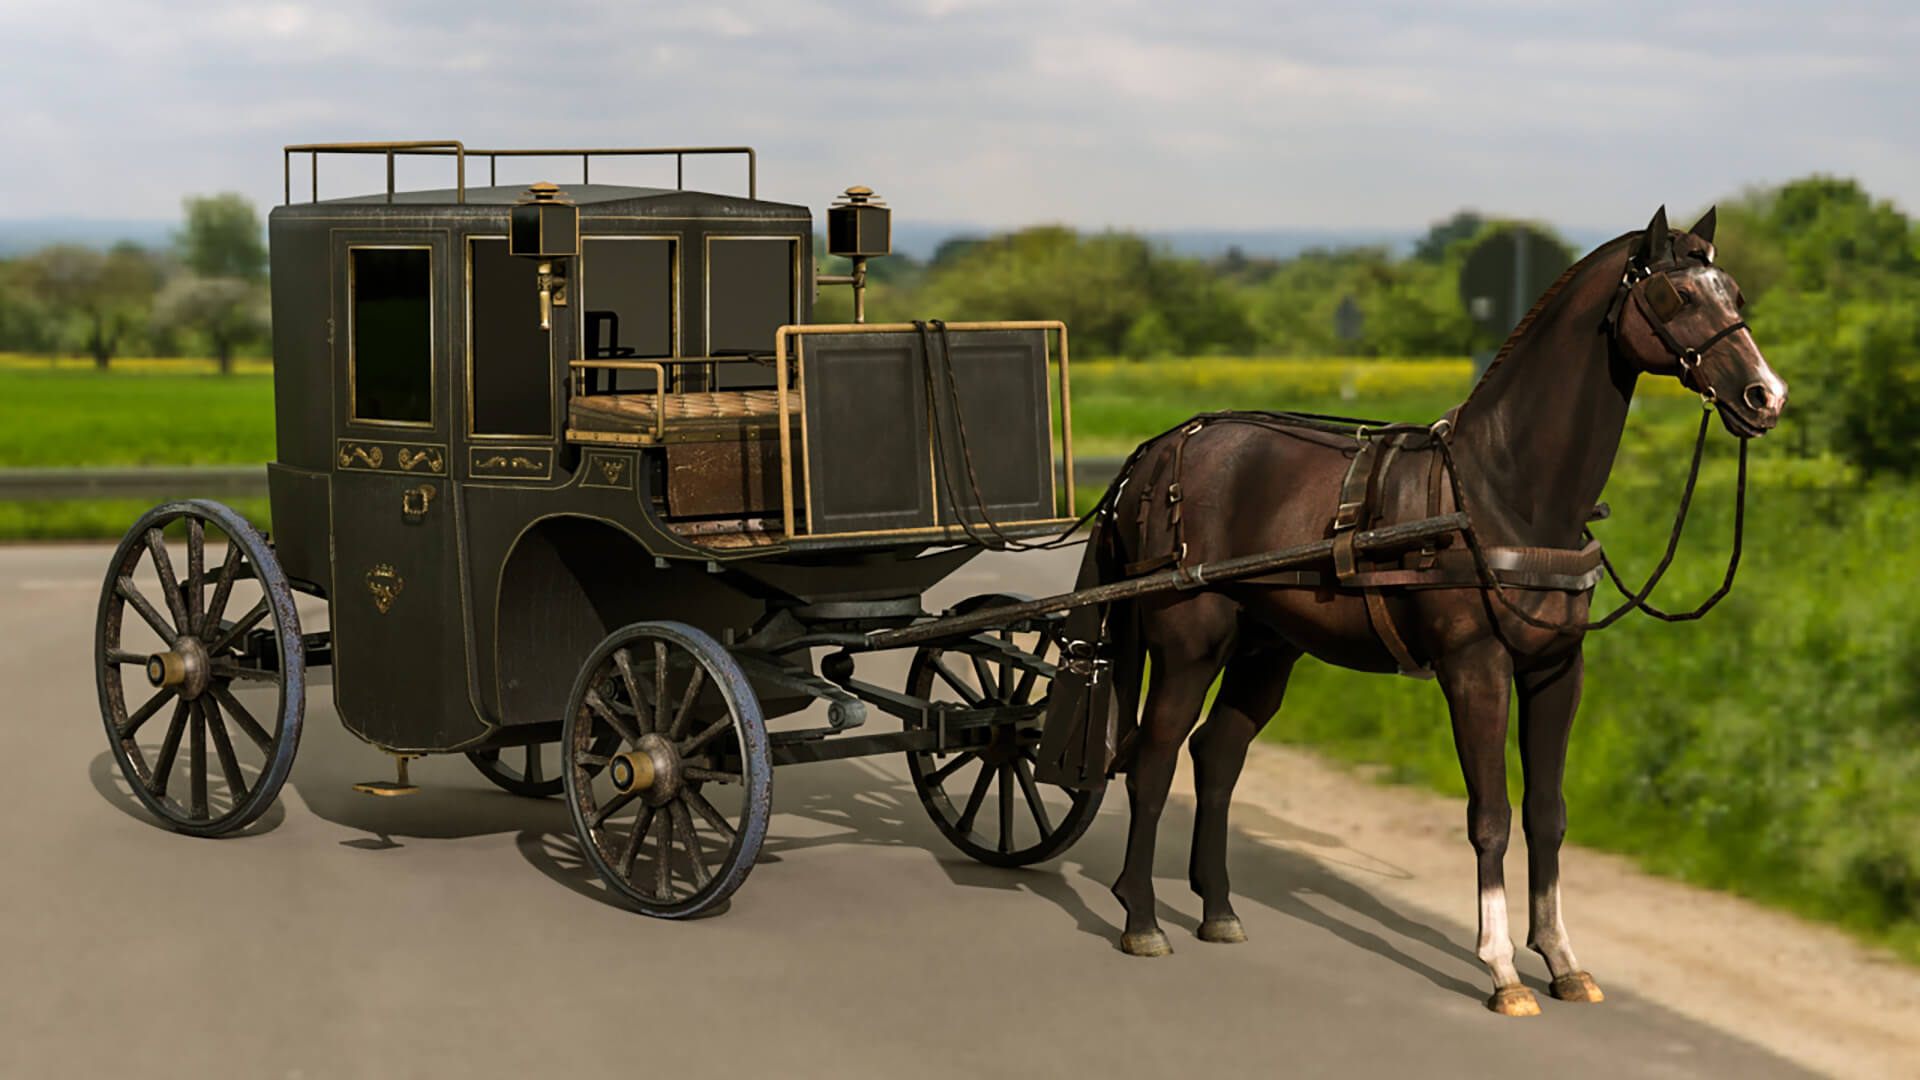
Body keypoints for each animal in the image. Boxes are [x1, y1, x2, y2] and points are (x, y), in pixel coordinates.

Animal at [1092, 206, 1787, 1015]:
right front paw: (1502, 969)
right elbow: (1492, 816)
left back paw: (1220, 911)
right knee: (1154, 761)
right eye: (1676, 297)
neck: (1506, 490)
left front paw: (1562, 960)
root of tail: (1159, 450)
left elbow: (1547, 815)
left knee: (1217, 755)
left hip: (1266, 649)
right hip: (1187, 649)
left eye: (1734, 291)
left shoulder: (1557, 670)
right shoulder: (1474, 670)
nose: (1766, 396)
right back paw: (1141, 919)